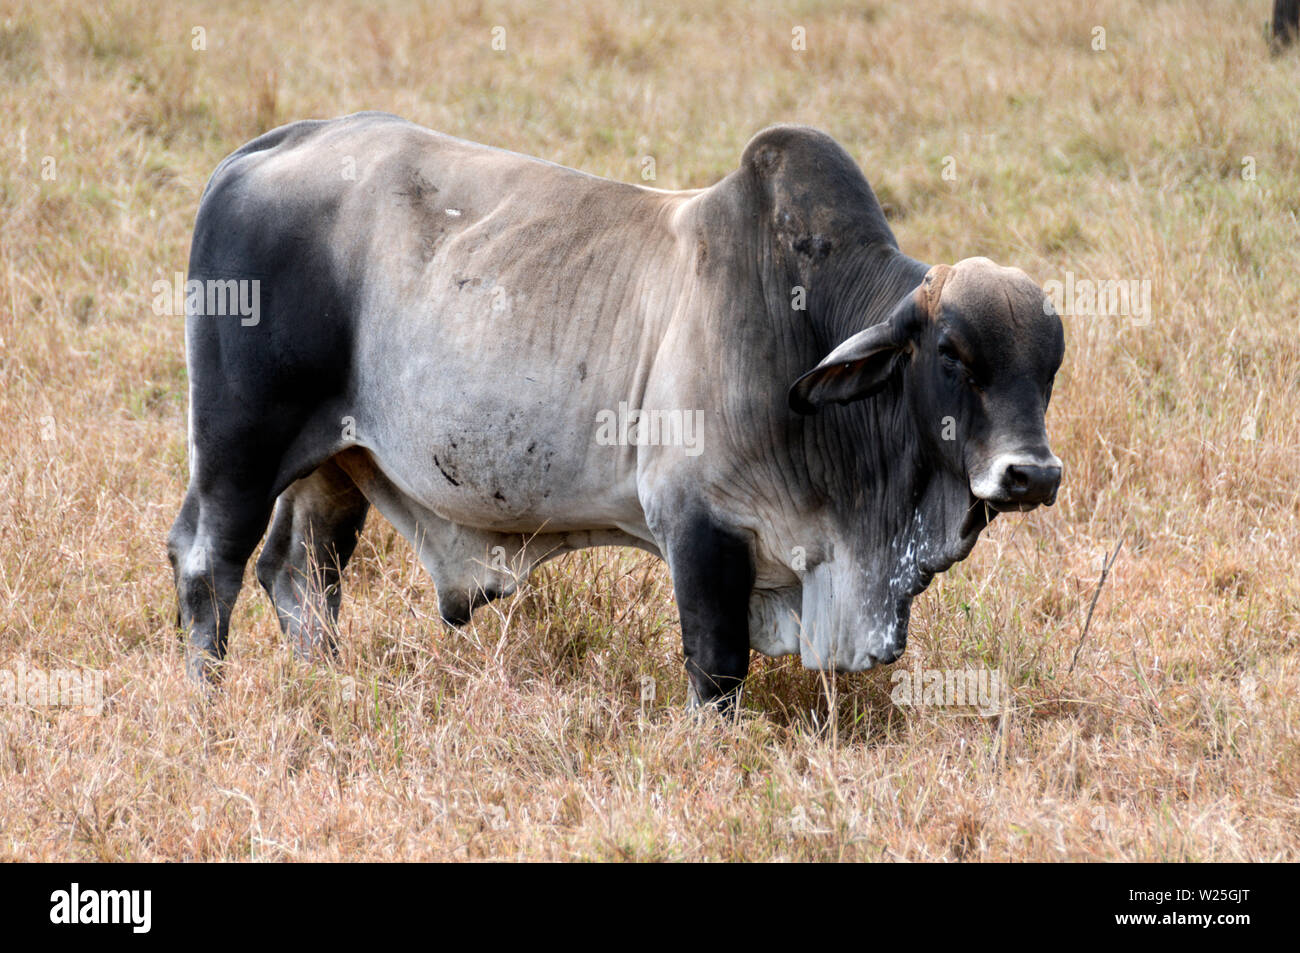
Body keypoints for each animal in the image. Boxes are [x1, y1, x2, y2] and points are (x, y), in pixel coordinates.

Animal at [168, 113, 1064, 709]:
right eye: (952, 354)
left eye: (1049, 367)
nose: (1033, 473)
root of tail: (270, 146)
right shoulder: (700, 525)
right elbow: (715, 670)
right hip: (241, 443)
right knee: (209, 560)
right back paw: (207, 697)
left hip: (336, 461)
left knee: (300, 571)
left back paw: (330, 682)